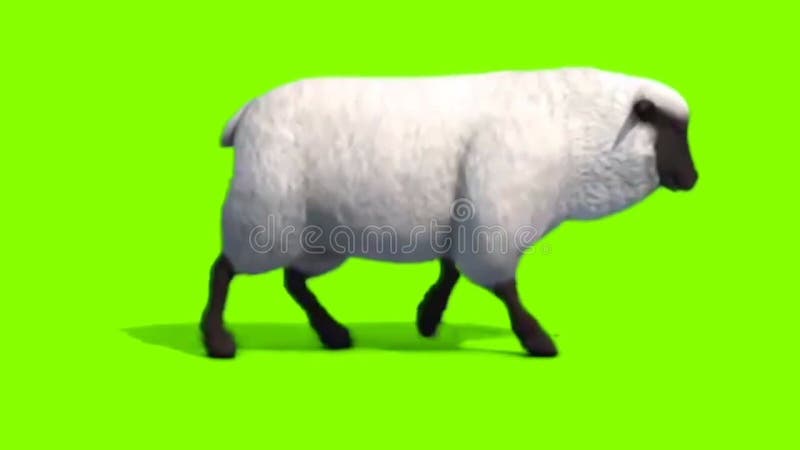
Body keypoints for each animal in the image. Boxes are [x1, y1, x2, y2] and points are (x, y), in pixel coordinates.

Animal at [202, 67, 698, 359]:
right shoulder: (496, 216)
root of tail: (245, 114)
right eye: (666, 126)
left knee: (293, 279)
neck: (578, 131)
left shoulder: (466, 218)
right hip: (265, 211)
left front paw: (427, 317)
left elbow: (451, 270)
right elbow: (503, 287)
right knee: (224, 270)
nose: (693, 178)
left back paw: (333, 334)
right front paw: (536, 340)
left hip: (318, 234)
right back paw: (218, 341)